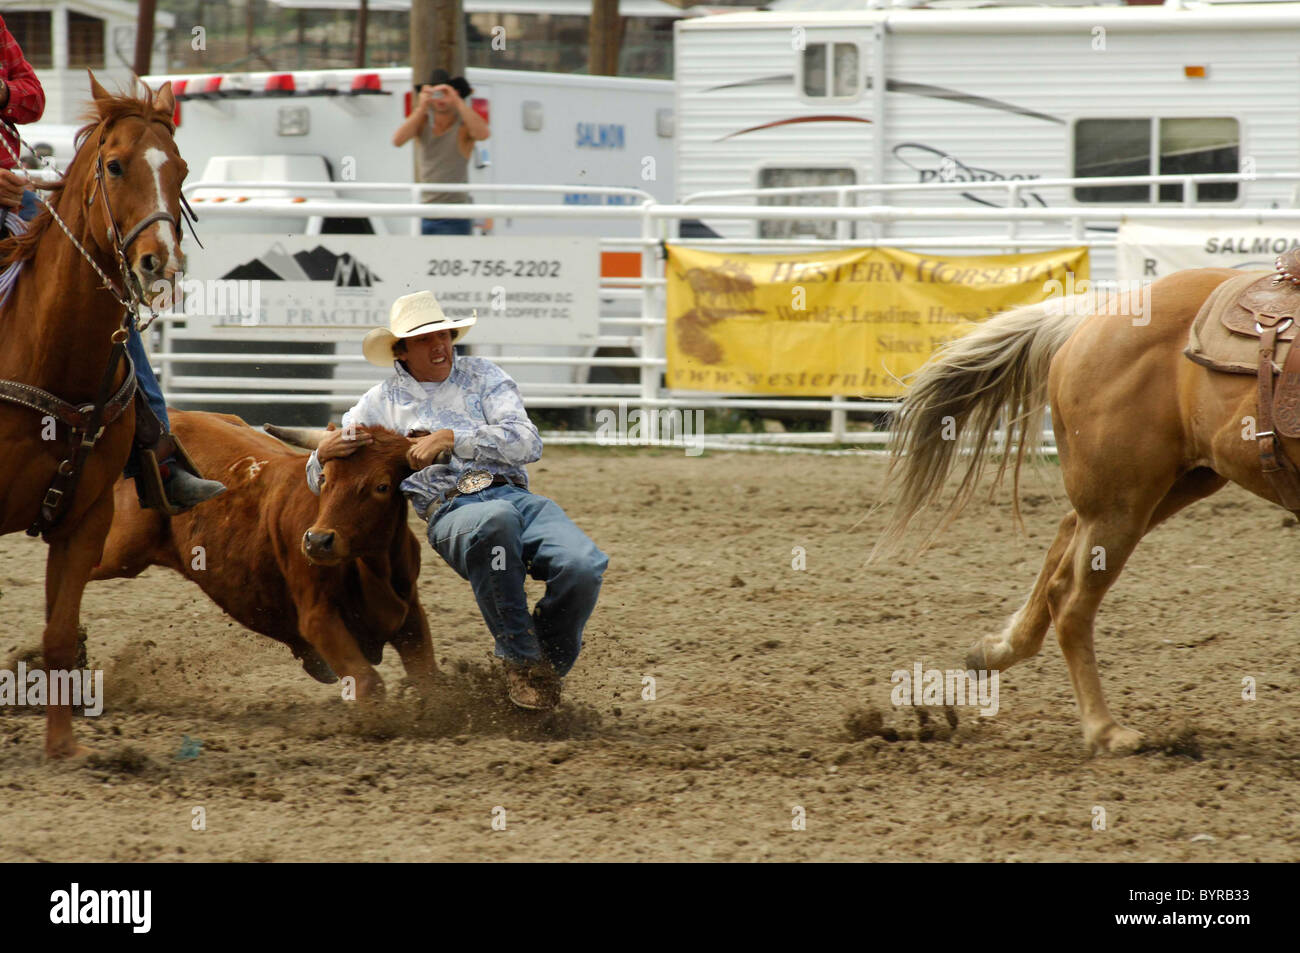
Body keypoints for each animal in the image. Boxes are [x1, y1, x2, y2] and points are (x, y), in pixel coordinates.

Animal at [0, 74, 187, 758]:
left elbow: (59, 633)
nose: (160, 260)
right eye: (114, 165)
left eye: (181, 169)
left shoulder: (86, 519)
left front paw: (63, 748)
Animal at [878, 266, 1296, 755]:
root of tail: (1092, 317)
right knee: (1070, 599)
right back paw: (1105, 729)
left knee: (1064, 540)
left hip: (1166, 486)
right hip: (1122, 499)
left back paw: (995, 652)